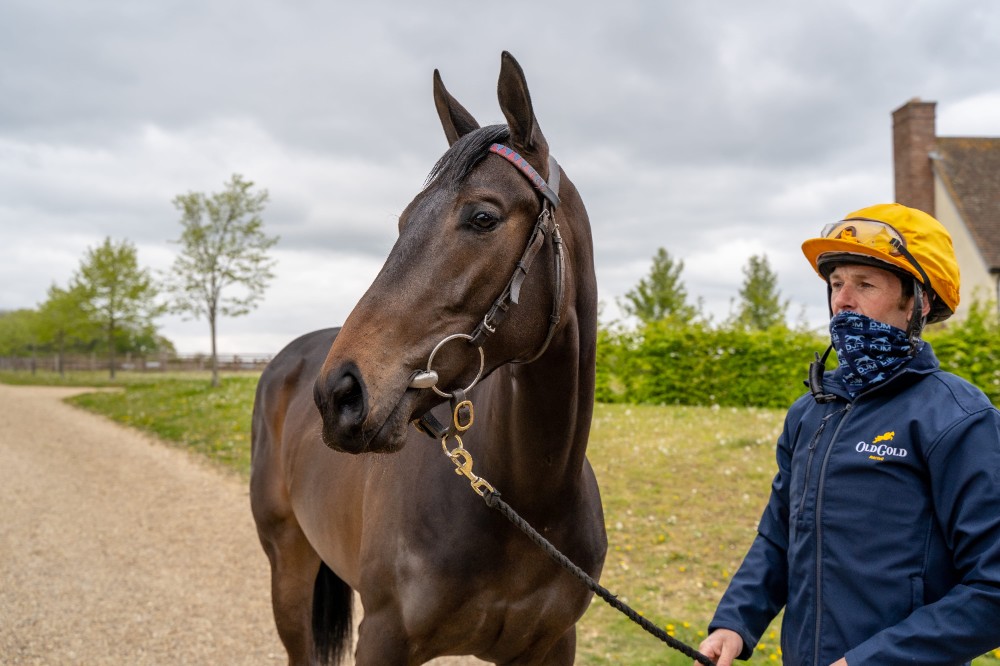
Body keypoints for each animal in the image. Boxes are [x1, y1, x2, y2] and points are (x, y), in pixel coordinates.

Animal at [250, 51, 607, 666]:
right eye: (403, 221)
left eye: (483, 217)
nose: (340, 395)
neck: (530, 499)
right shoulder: (383, 639)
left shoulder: (554, 644)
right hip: (288, 567)